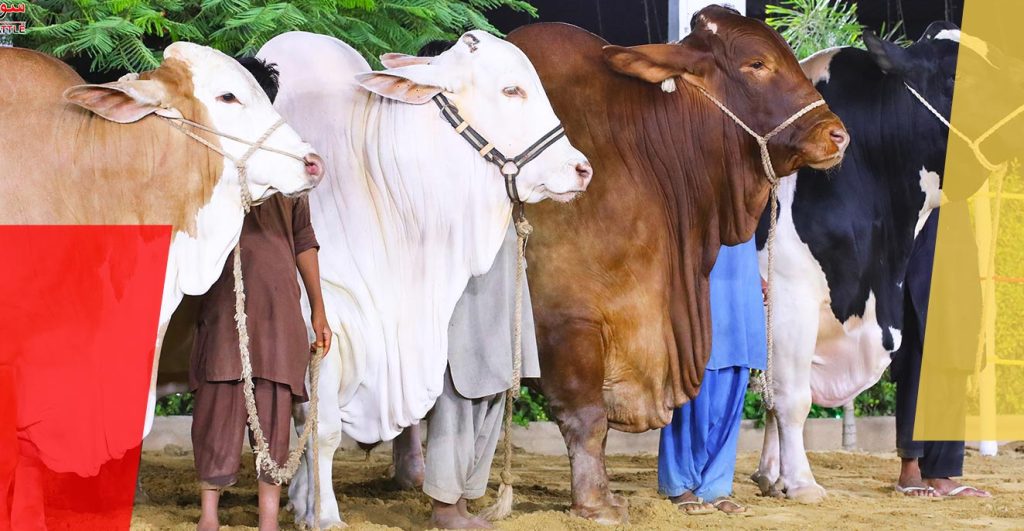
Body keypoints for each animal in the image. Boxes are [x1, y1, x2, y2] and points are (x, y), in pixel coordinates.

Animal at [255, 31, 591, 528]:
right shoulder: (320, 322)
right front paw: (326, 514)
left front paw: (305, 504)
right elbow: (324, 431)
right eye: (512, 90)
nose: (581, 169)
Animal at [752, 23, 1017, 502]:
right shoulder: (786, 292)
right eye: (957, 76)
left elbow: (769, 392)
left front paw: (770, 475)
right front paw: (800, 482)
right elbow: (791, 396)